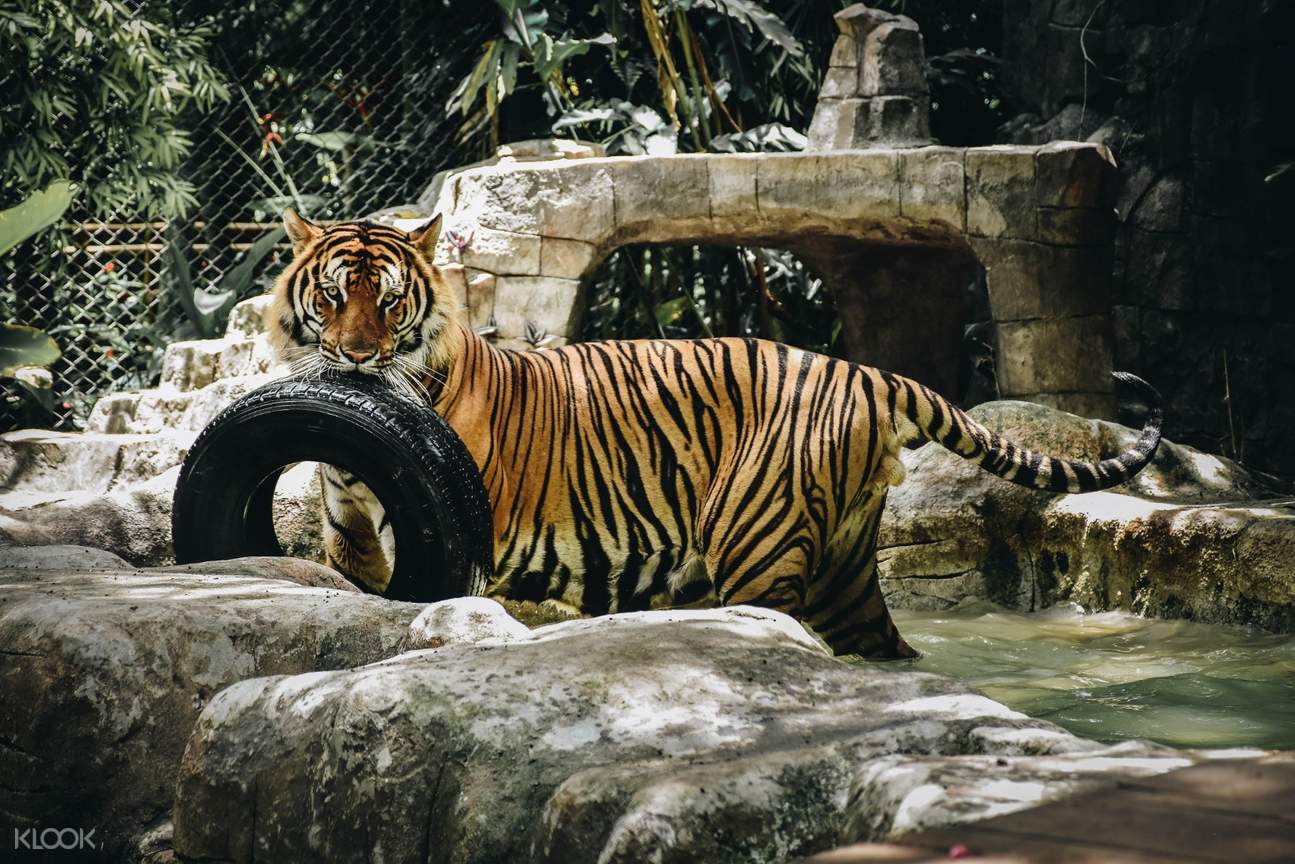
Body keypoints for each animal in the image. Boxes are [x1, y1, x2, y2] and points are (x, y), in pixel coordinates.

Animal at [267, 209, 1162, 660]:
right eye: (333, 296)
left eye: (388, 301)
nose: (356, 356)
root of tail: (866, 373)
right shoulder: (349, 524)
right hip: (845, 570)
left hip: (756, 542)